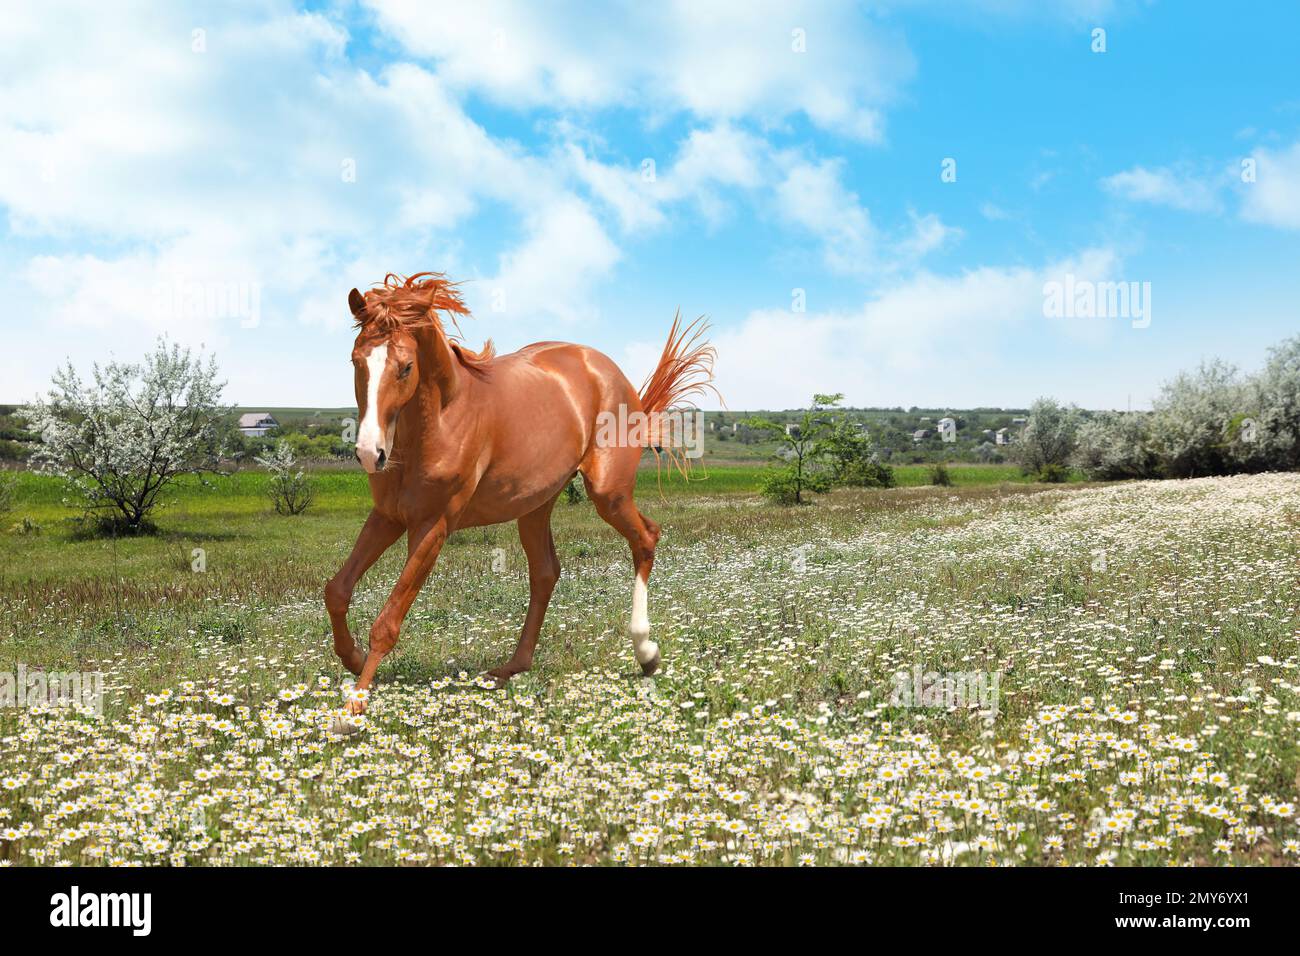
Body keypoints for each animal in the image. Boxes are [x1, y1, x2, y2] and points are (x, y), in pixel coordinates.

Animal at [324, 272, 716, 716]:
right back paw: (513, 666)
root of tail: (608, 369)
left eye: (406, 367)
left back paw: (646, 652)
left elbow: (388, 621)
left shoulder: (432, 528)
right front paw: (352, 659)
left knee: (646, 538)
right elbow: (336, 590)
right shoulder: (388, 516)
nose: (369, 453)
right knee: (546, 572)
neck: (441, 420)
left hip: (608, 494)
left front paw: (352, 709)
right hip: (535, 505)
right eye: (356, 362)